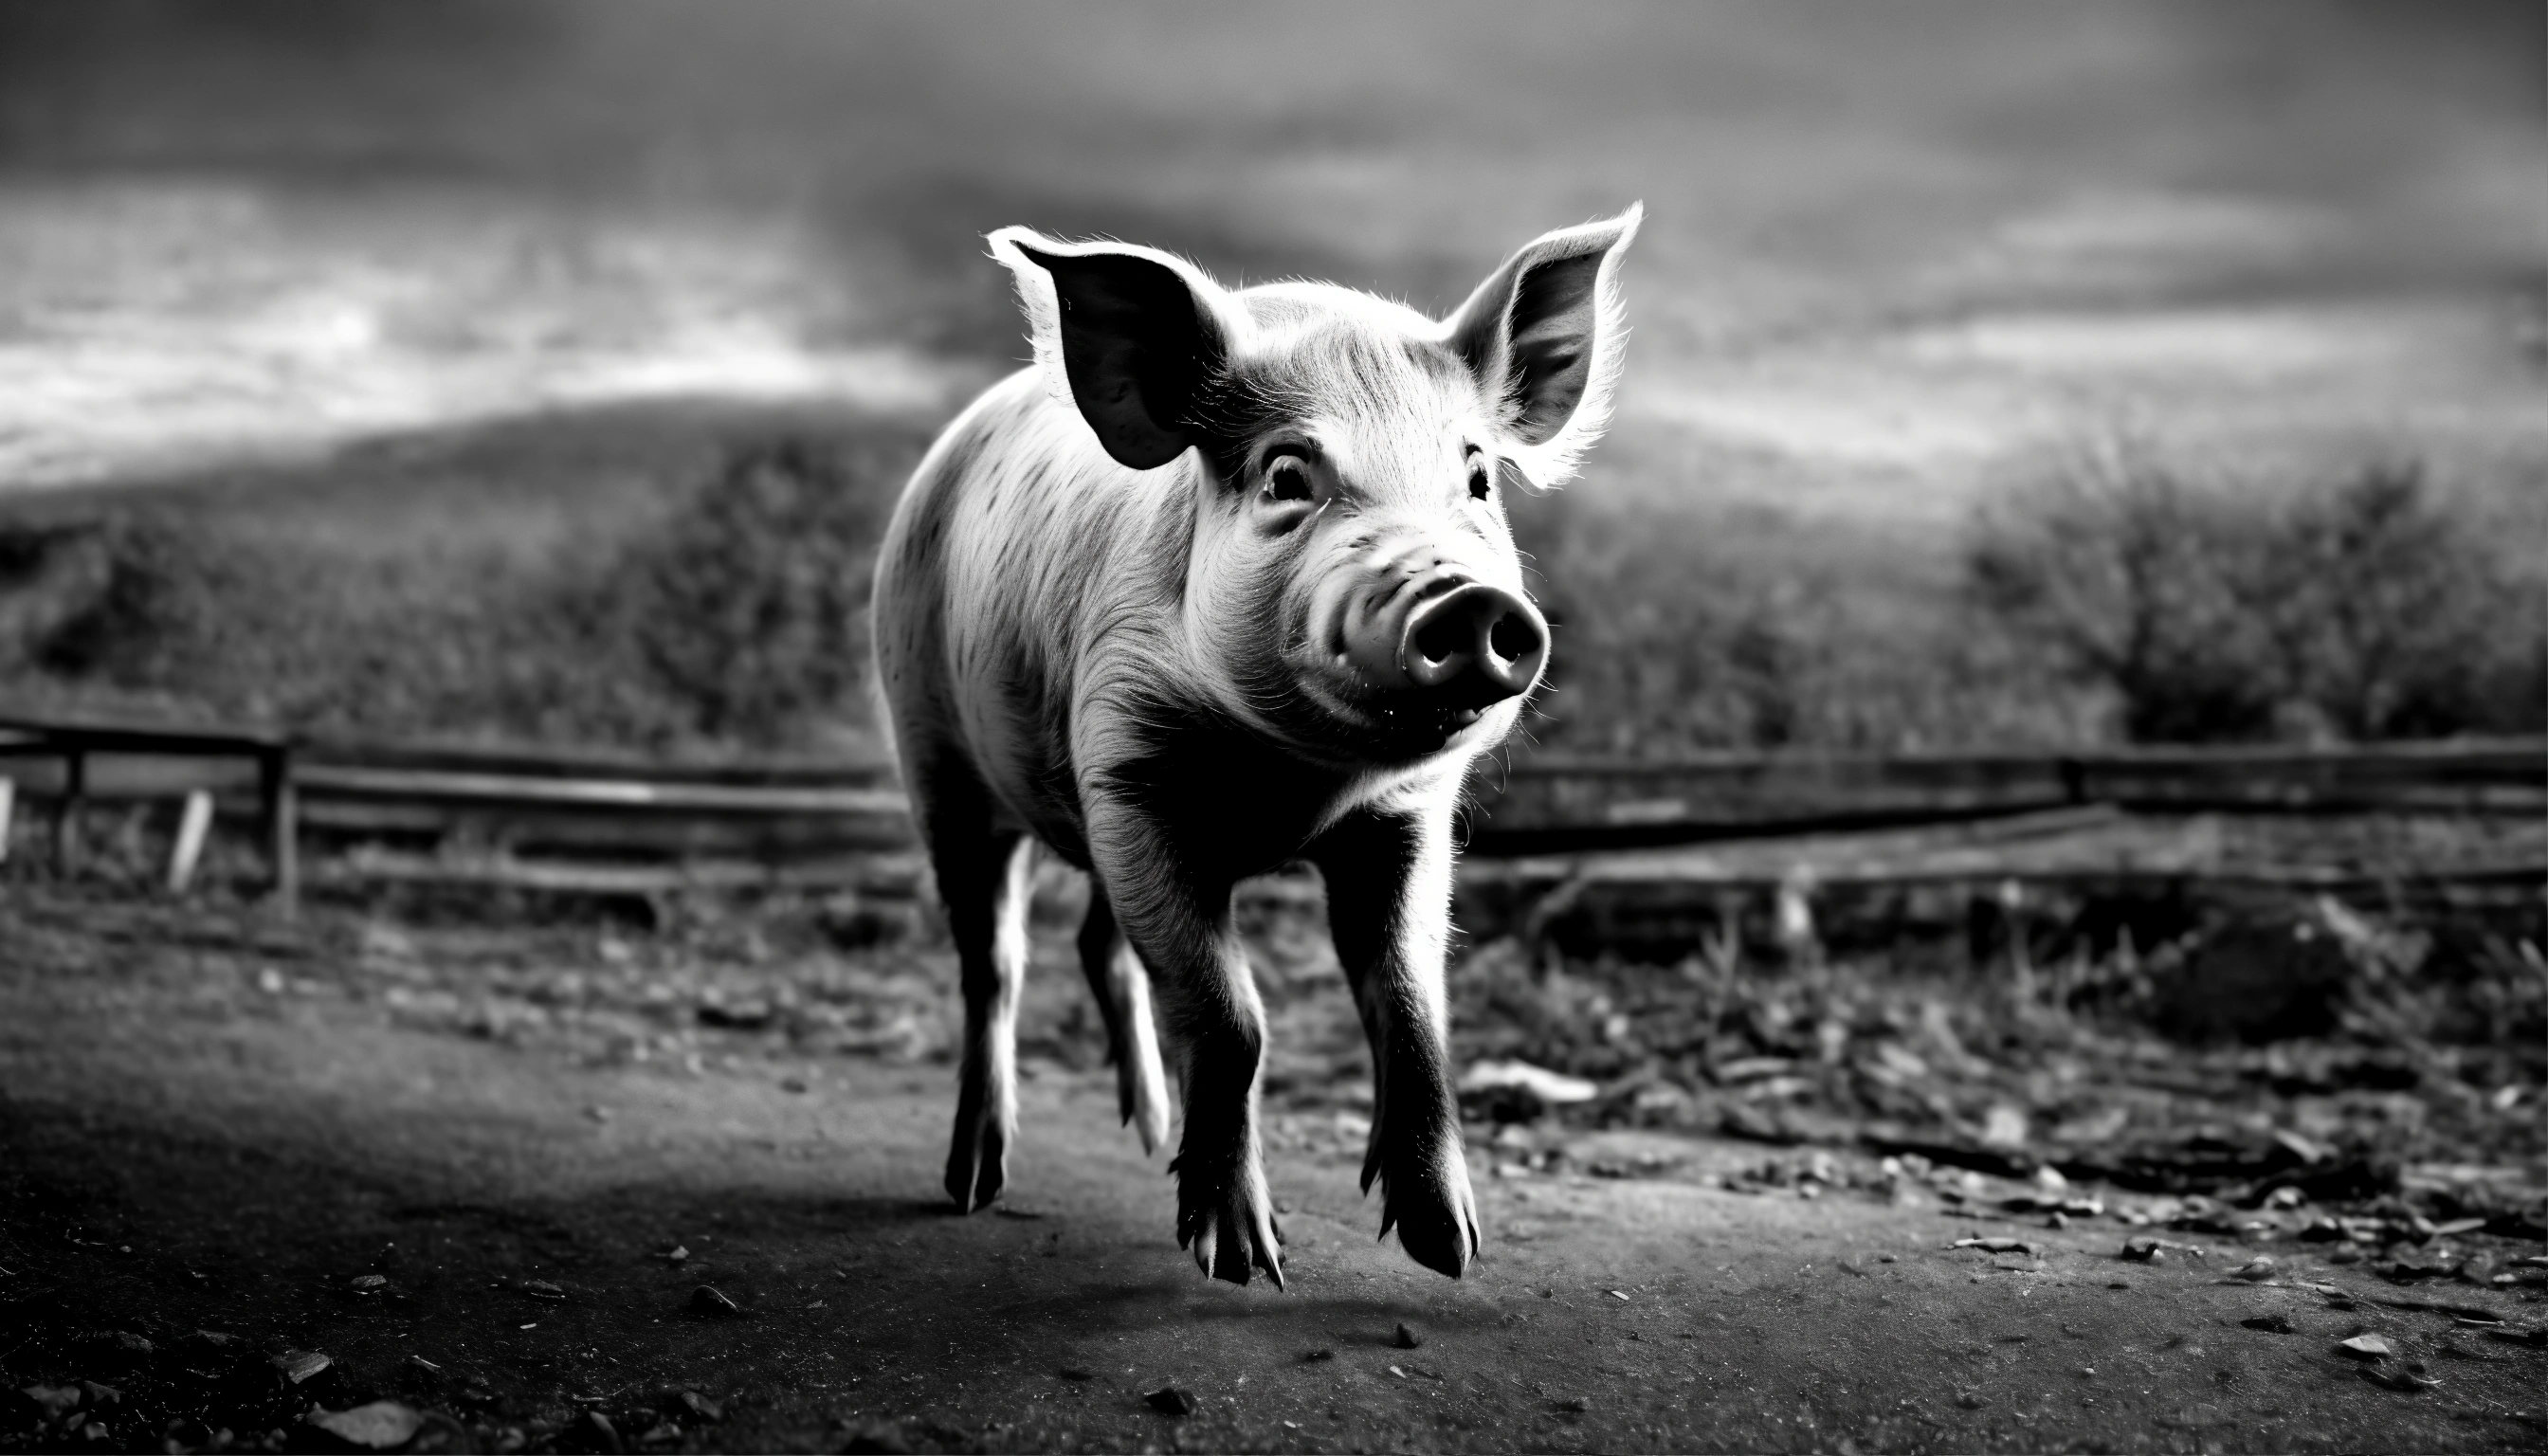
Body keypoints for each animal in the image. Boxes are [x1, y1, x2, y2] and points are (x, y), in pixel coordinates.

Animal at [870, 206, 1640, 1285]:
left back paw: (1148, 1134)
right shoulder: (1129, 771)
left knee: (1099, 944)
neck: (1290, 790)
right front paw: (1245, 1262)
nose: (1466, 597)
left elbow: (1412, 1001)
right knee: (994, 964)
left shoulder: (1406, 818)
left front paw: (1449, 1249)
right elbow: (1233, 1017)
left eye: (1478, 476)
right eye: (1287, 474)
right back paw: (975, 1183)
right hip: (935, 756)